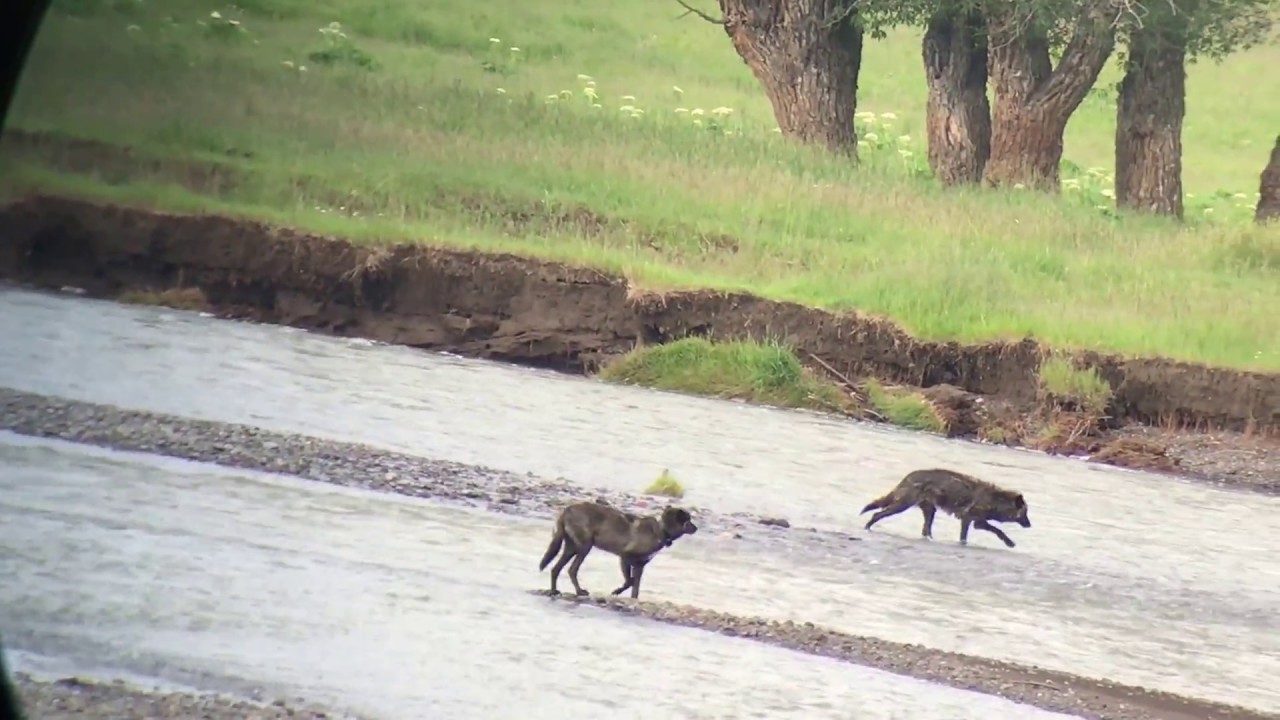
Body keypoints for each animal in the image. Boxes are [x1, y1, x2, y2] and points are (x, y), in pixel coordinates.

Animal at [538, 501, 698, 599]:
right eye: (688, 520)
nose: (696, 528)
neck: (661, 531)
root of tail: (567, 509)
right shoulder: (625, 557)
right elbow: (630, 581)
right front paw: (616, 591)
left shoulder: (640, 566)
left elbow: (635, 587)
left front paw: (632, 600)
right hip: (584, 547)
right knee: (572, 570)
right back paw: (579, 591)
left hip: (571, 548)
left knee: (555, 569)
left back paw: (553, 591)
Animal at [859, 468, 1031, 547]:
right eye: (1025, 513)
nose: (1030, 525)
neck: (996, 501)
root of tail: (908, 476)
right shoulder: (973, 520)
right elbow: (997, 530)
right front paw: (1010, 543)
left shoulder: (974, 522)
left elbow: (993, 530)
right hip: (902, 505)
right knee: (877, 514)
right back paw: (867, 528)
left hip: (930, 510)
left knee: (926, 530)